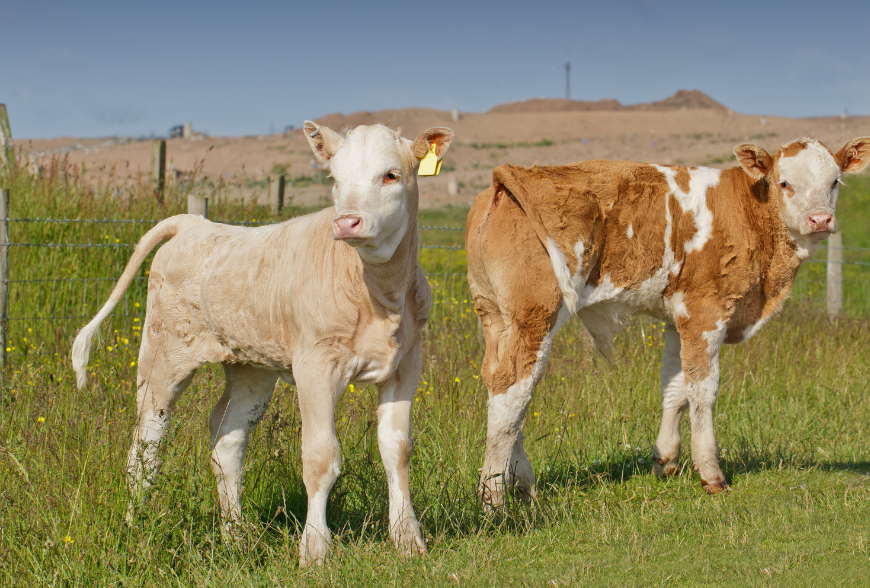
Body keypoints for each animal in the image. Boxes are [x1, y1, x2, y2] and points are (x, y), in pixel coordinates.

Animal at [72, 121, 454, 565]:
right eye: (334, 180)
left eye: (390, 175)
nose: (347, 223)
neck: (380, 293)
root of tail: (195, 224)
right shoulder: (314, 365)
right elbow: (320, 457)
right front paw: (314, 550)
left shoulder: (407, 362)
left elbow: (397, 450)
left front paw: (408, 539)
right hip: (163, 354)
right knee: (147, 439)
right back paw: (137, 524)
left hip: (250, 366)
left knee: (227, 438)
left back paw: (236, 536)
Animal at [465, 136, 870, 507]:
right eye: (784, 182)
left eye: (835, 181)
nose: (821, 219)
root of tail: (512, 174)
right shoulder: (705, 313)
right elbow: (703, 392)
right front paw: (711, 474)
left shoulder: (679, 318)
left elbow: (674, 389)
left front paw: (665, 462)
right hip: (535, 317)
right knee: (514, 390)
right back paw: (494, 497)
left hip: (497, 317)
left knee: (500, 384)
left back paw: (521, 485)